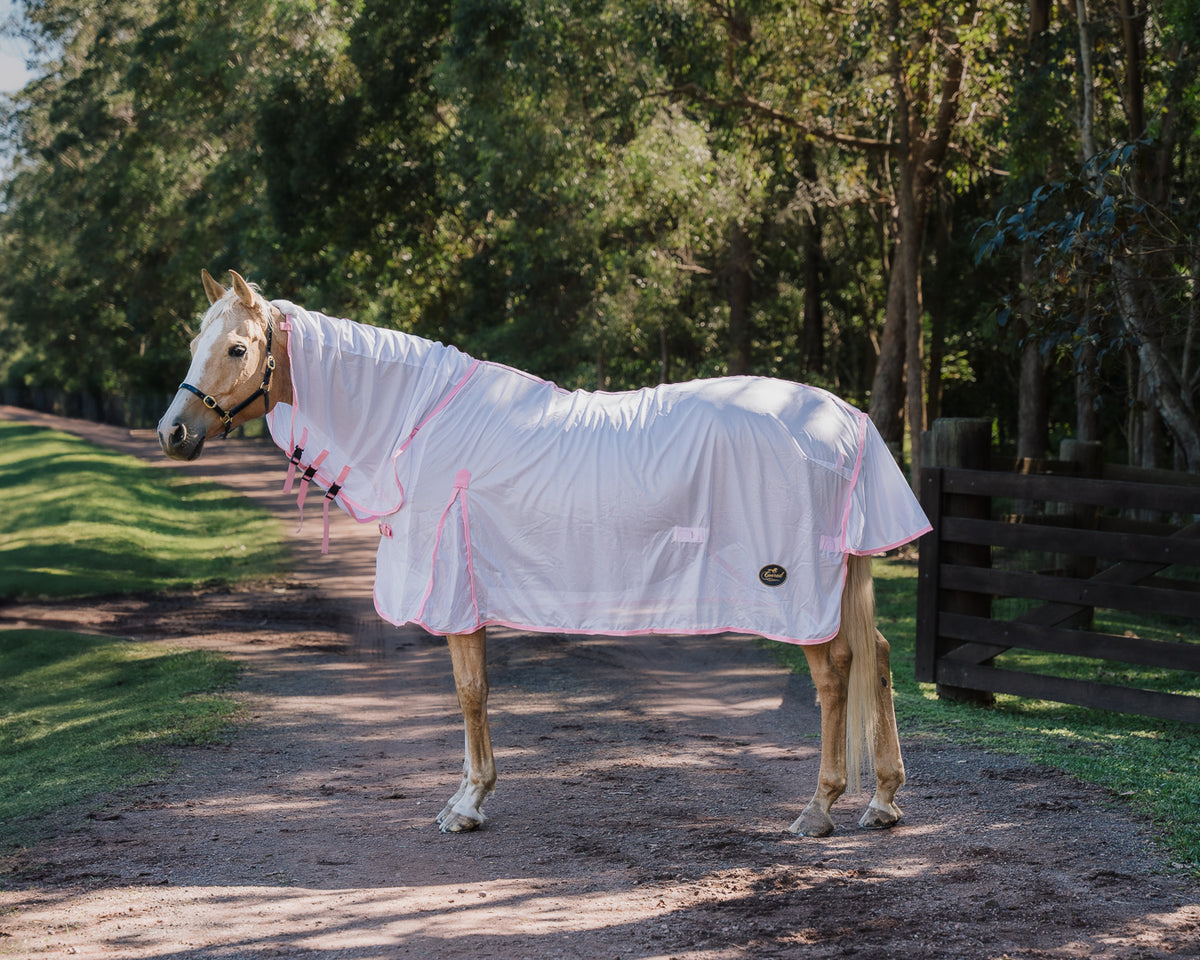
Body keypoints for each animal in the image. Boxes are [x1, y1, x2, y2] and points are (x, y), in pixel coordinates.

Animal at [158, 270, 929, 837]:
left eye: (236, 349)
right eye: (195, 342)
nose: (173, 432)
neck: (418, 425)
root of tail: (845, 419)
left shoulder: (457, 591)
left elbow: (470, 692)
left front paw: (467, 805)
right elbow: (473, 691)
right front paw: (467, 798)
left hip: (795, 589)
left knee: (835, 674)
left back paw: (819, 809)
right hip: (841, 579)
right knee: (879, 656)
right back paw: (883, 800)